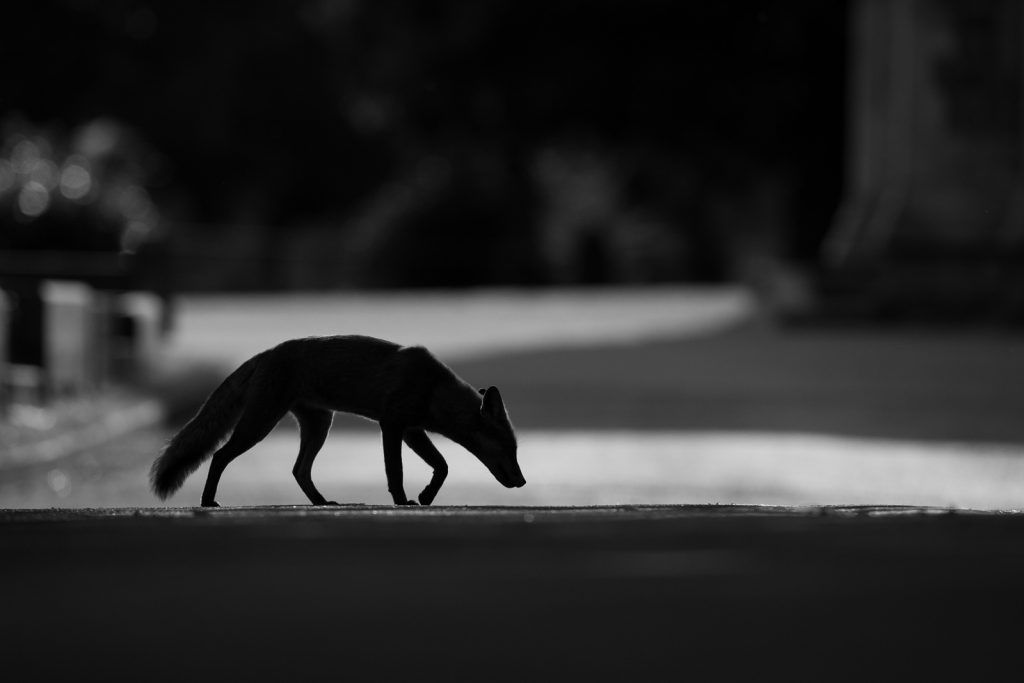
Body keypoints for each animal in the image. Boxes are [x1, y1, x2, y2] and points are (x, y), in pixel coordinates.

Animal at [150, 335, 524, 507]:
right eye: (510, 448)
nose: (521, 481)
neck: (433, 389)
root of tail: (266, 353)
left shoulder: (412, 429)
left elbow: (443, 466)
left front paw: (427, 496)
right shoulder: (392, 425)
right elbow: (396, 471)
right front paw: (402, 501)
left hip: (318, 427)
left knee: (299, 470)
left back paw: (319, 502)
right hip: (260, 424)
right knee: (218, 456)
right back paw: (207, 501)